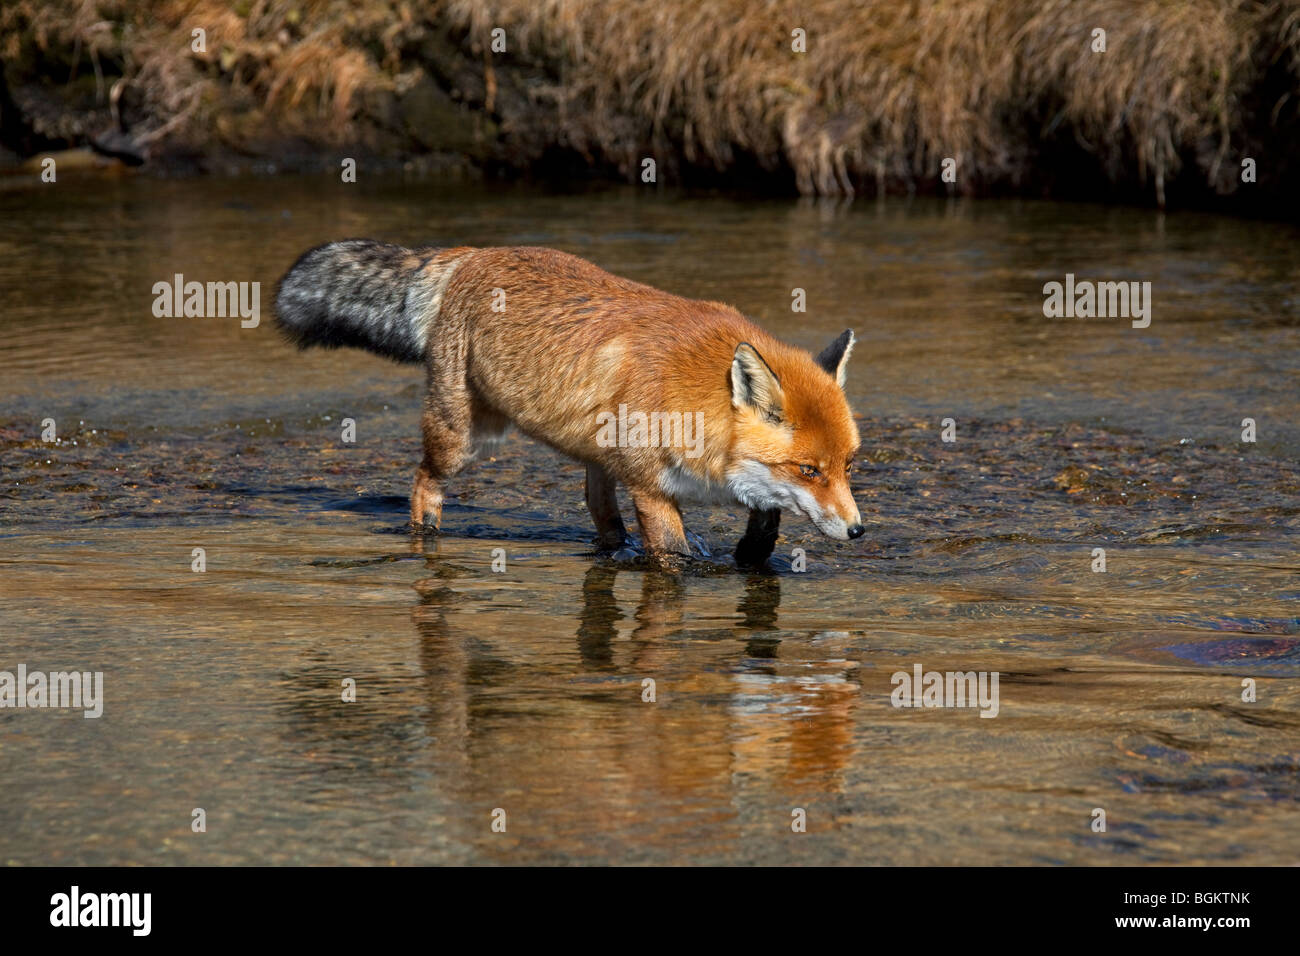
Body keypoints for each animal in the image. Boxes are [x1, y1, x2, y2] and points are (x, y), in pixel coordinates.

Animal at [275, 240, 864, 566]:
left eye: (847, 466)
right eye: (809, 470)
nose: (859, 531)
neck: (697, 403)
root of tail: (473, 255)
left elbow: (766, 519)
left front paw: (749, 557)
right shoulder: (652, 488)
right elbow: (673, 558)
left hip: (595, 455)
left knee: (599, 512)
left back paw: (616, 549)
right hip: (463, 439)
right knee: (422, 484)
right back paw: (426, 537)